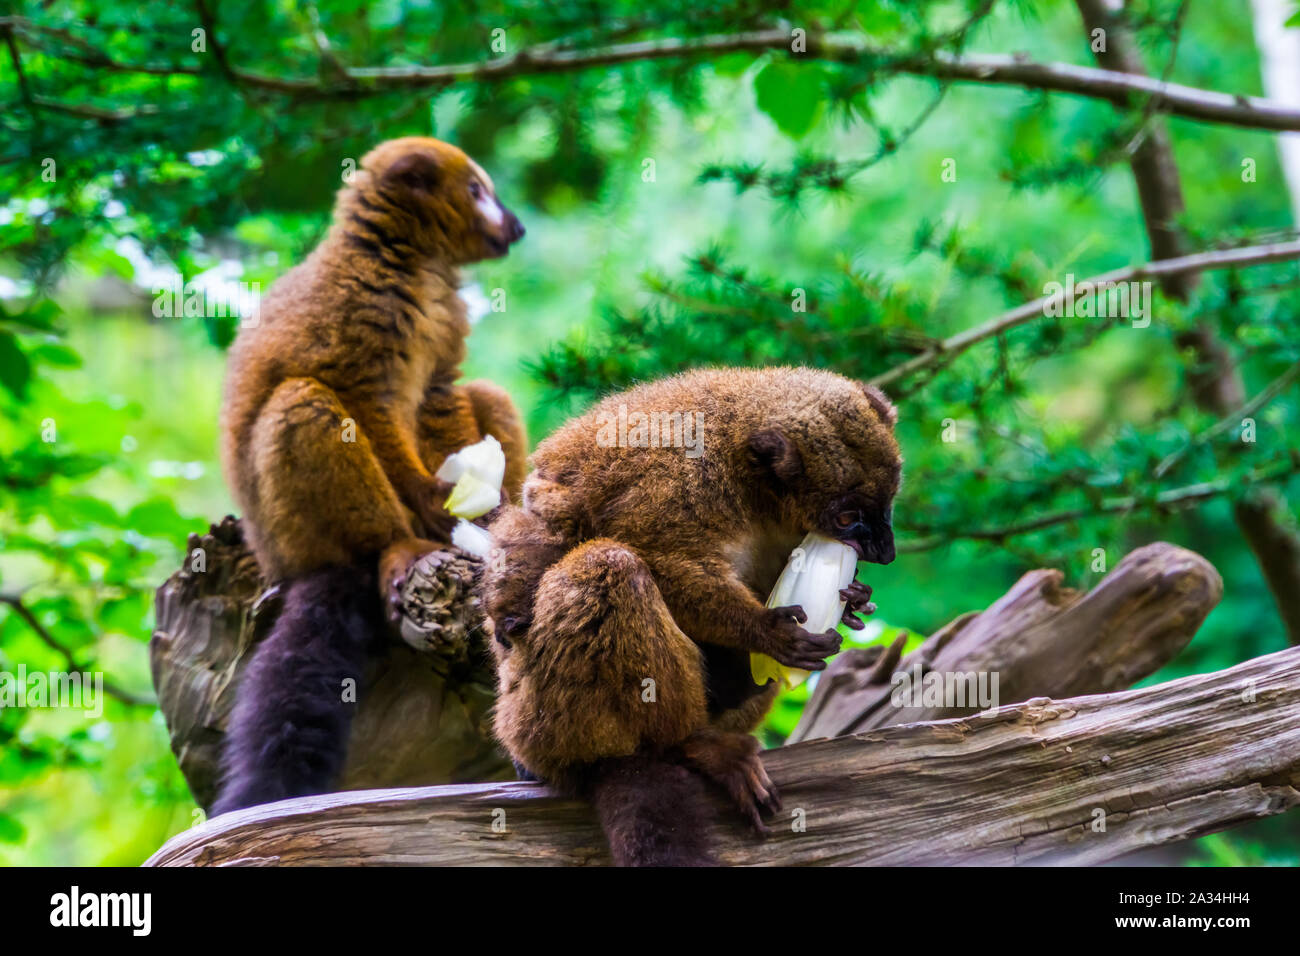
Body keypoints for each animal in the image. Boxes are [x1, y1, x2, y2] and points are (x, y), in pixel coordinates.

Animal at [211, 137, 528, 815]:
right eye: (477, 192)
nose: (514, 224)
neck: (414, 264)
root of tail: (277, 560)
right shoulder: (355, 305)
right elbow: (360, 400)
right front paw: (438, 500)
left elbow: (440, 396)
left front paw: (471, 507)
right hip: (293, 534)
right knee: (302, 400)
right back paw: (395, 546)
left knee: (484, 394)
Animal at [479, 366, 901, 865]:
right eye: (848, 517)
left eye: (888, 504)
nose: (887, 552)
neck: (745, 481)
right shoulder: (675, 482)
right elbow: (660, 559)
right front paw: (765, 632)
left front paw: (856, 599)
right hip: (534, 722)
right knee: (610, 567)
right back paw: (689, 746)